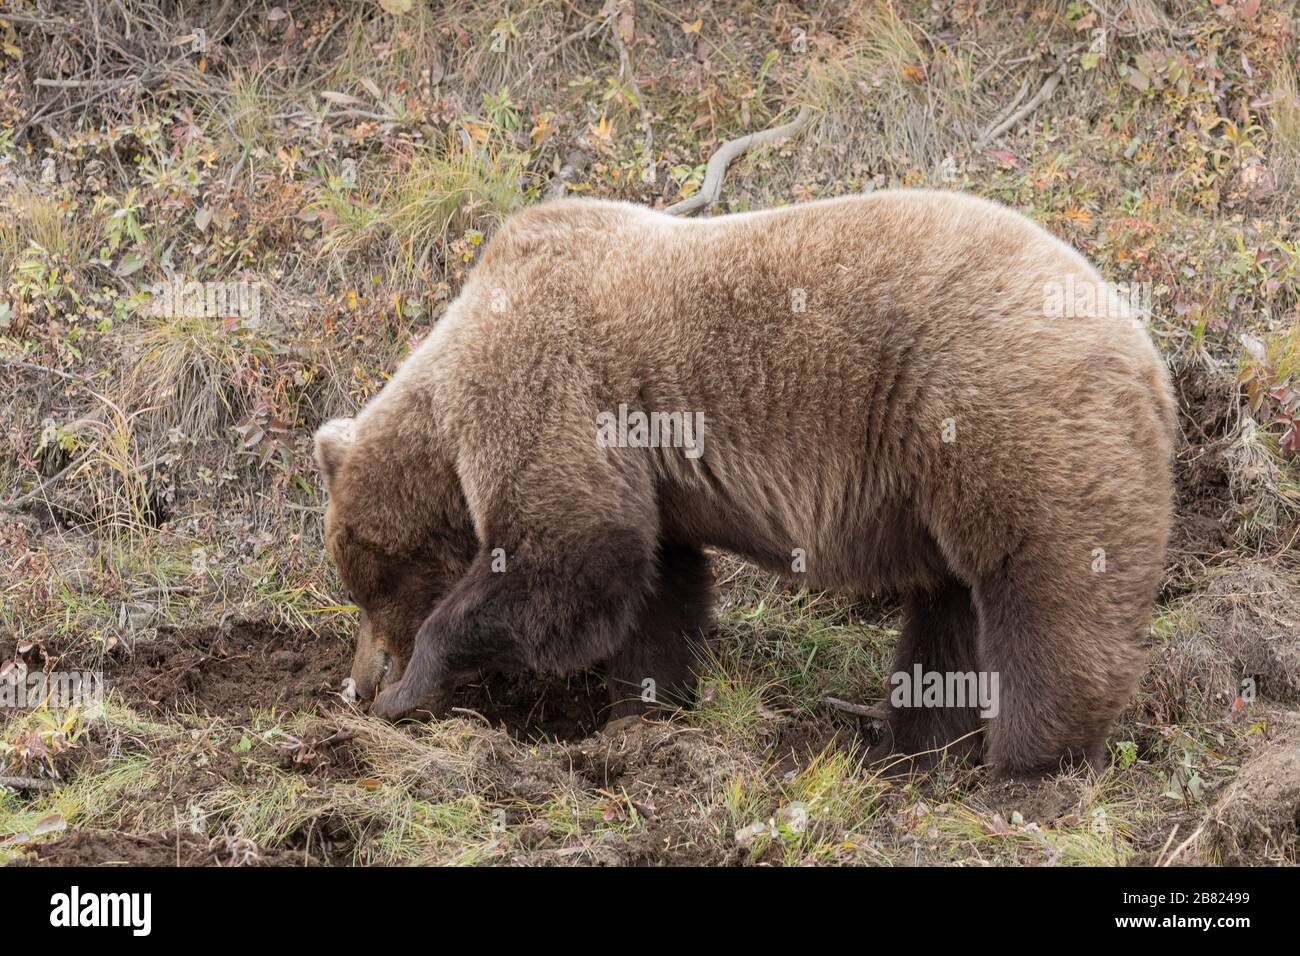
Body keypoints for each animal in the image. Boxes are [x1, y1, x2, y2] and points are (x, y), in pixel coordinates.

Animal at [314, 190, 1176, 779]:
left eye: (369, 588)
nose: (357, 682)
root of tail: (1146, 354)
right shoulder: (650, 479)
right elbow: (653, 589)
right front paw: (641, 716)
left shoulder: (551, 386)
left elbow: (570, 552)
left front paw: (412, 687)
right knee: (953, 608)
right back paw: (909, 752)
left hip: (1001, 412)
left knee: (1045, 586)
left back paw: (1030, 765)